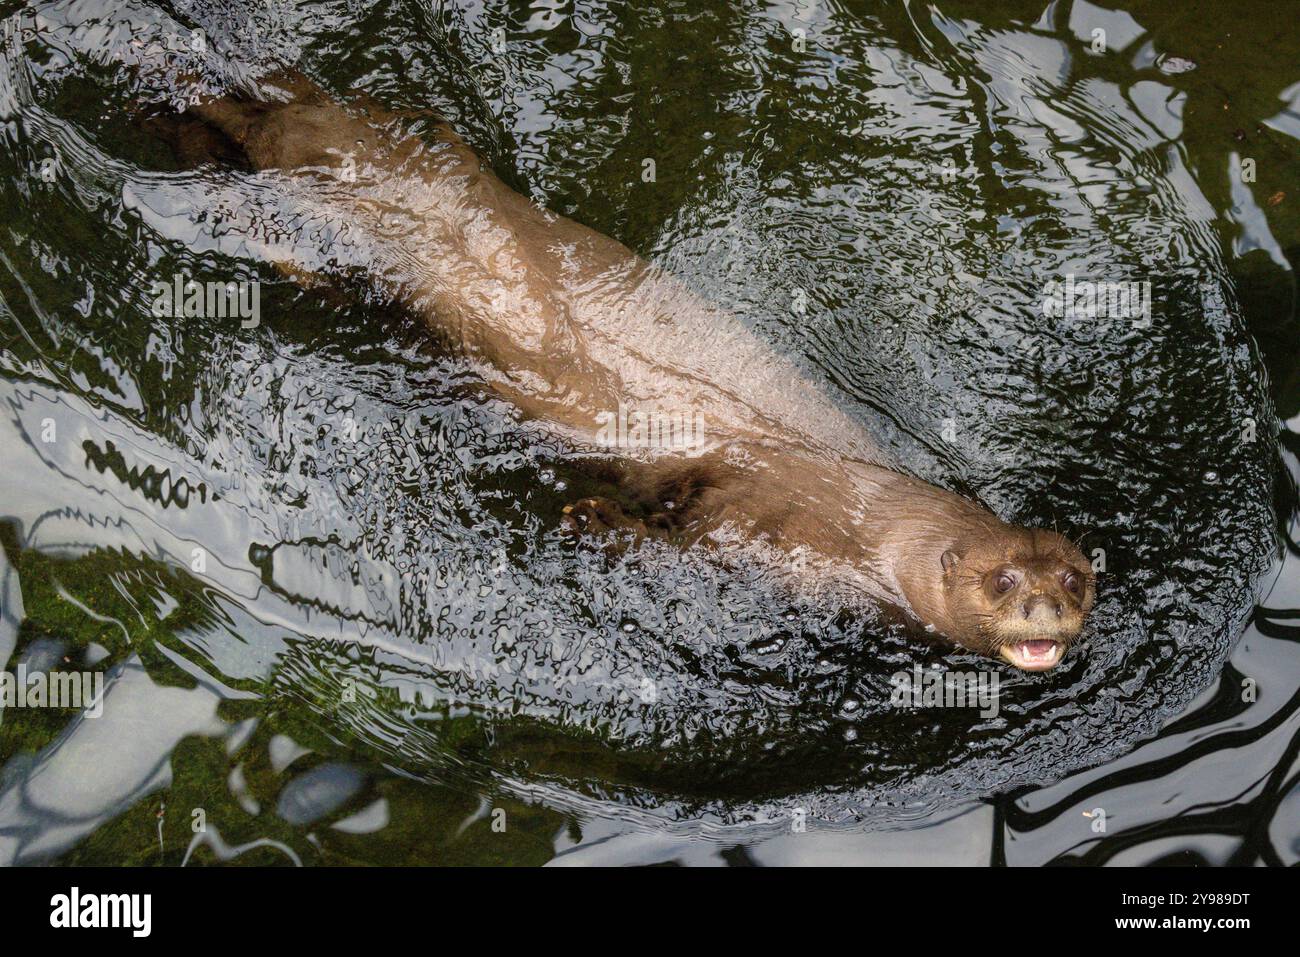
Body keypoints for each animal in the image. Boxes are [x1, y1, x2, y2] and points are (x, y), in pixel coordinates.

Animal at [151, 72, 1095, 670]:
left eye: (1075, 576)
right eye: (1004, 579)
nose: (1050, 607)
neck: (874, 519)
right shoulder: (763, 531)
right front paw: (589, 518)